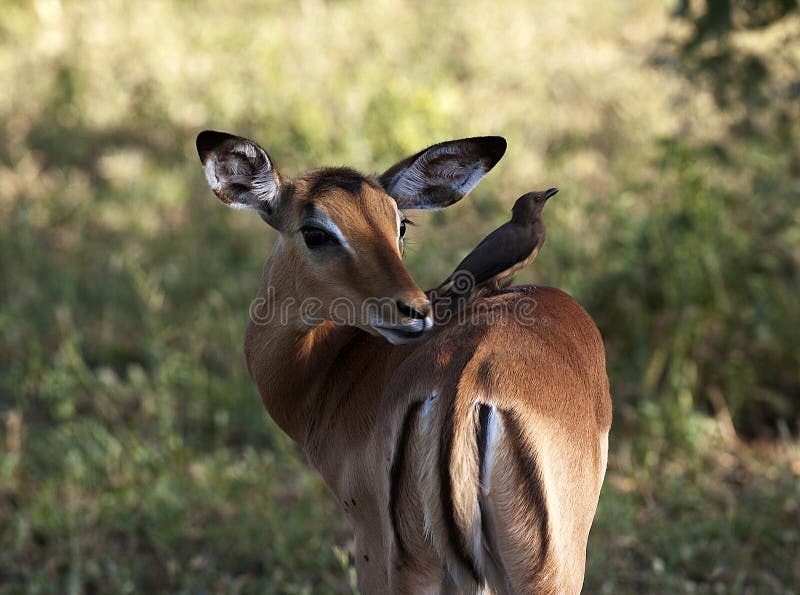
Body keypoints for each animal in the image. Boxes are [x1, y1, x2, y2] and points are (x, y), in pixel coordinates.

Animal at [196, 130, 612, 594]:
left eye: (400, 224)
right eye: (315, 232)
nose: (415, 310)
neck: (330, 369)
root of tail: (465, 382)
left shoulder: (366, 536)